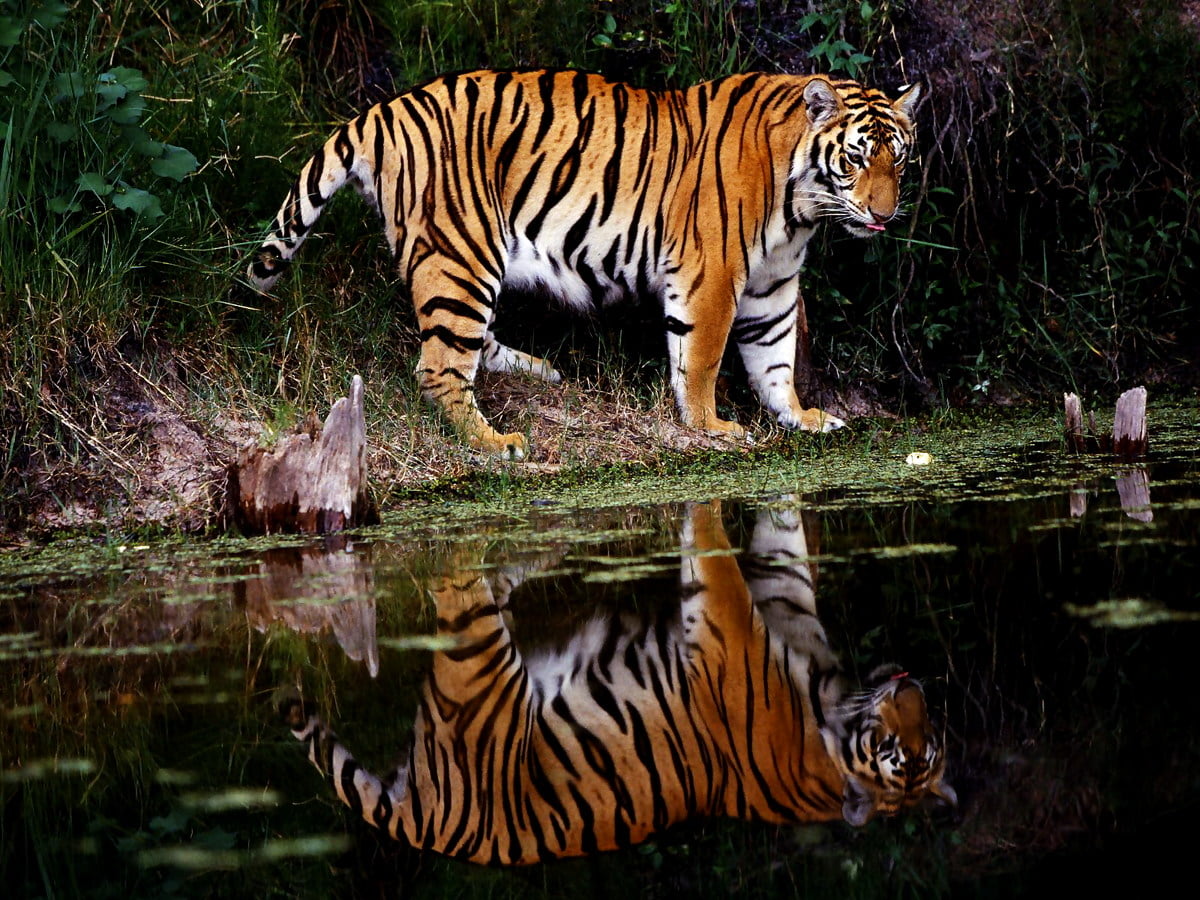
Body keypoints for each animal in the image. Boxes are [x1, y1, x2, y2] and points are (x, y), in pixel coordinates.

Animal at [248, 69, 922, 459]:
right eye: (856, 159)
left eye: (899, 160)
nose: (884, 215)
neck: (801, 206)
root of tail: (384, 111)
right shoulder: (711, 274)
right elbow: (702, 357)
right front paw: (712, 427)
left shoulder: (774, 283)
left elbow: (776, 357)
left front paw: (802, 418)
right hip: (461, 252)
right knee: (439, 367)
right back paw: (497, 443)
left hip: (464, 263)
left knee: (469, 343)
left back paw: (537, 370)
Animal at [281, 500, 955, 864]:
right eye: (895, 750)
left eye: (924, 746)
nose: (912, 688)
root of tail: (436, 828)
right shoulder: (736, 629)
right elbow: (728, 558)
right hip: (482, 658)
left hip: (473, 667)